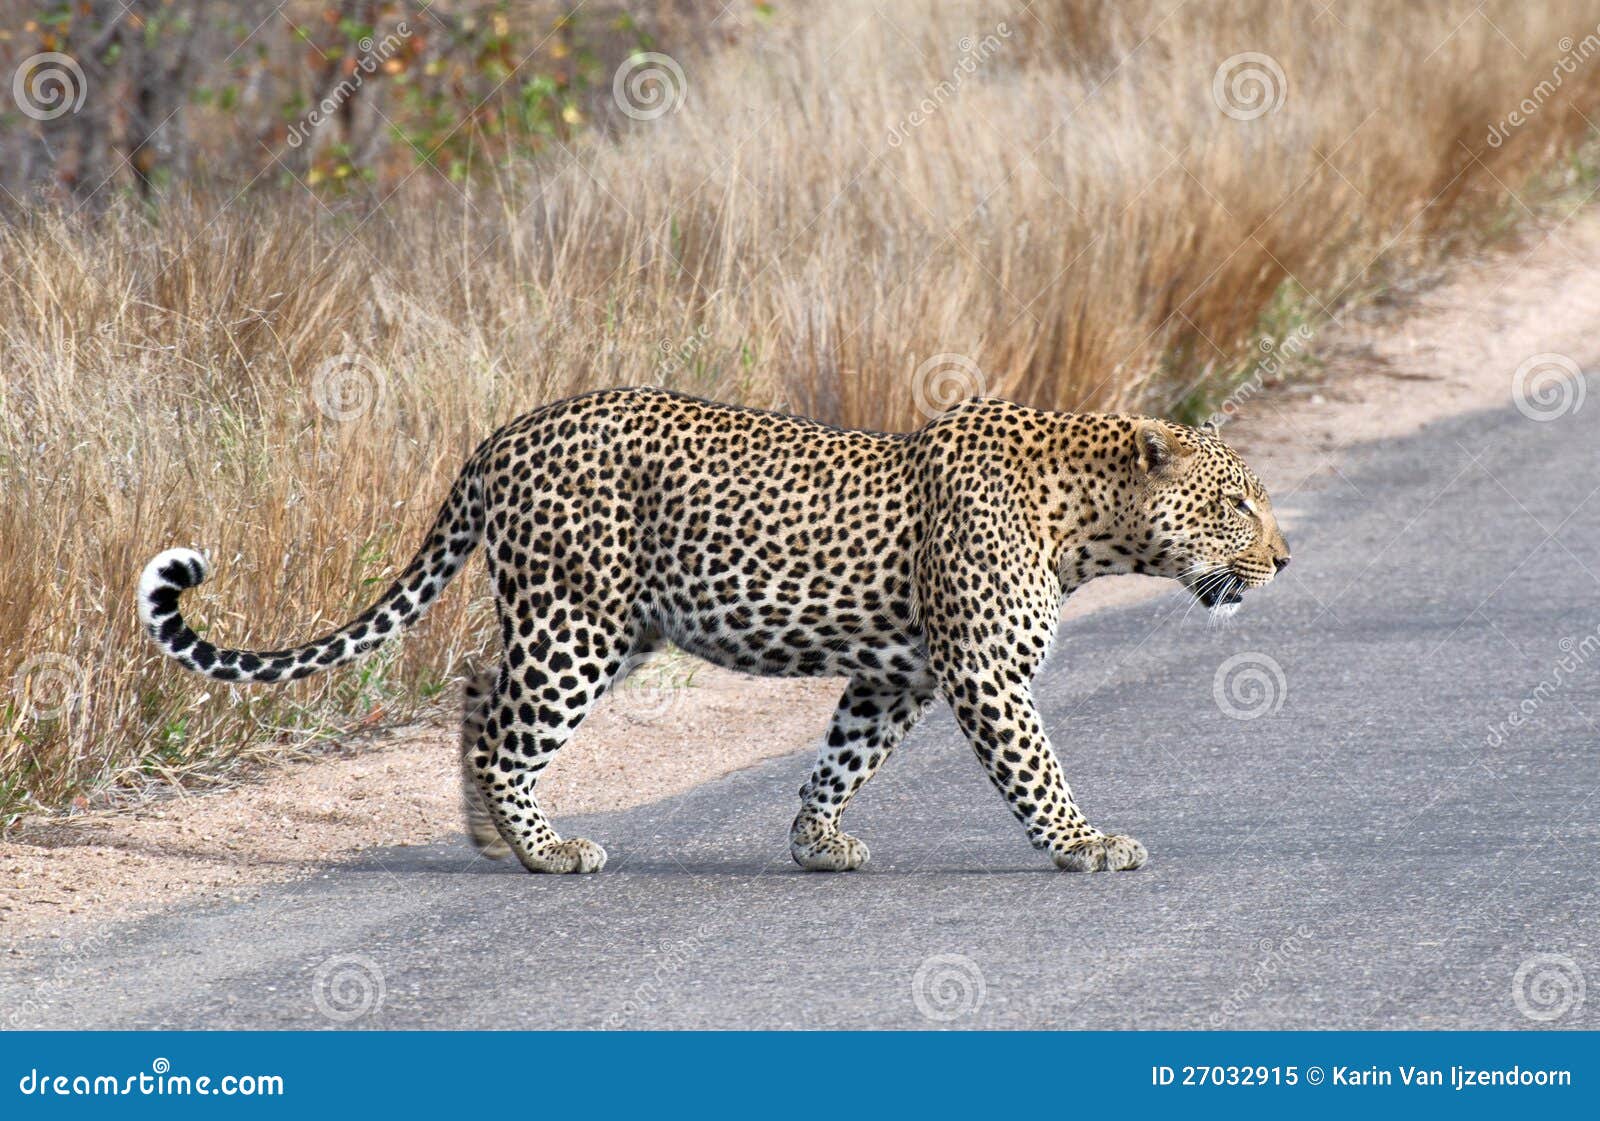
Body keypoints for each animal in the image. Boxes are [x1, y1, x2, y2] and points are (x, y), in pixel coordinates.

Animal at [138, 386, 1290, 874]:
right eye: (1238, 504)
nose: (1283, 560)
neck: (1086, 522)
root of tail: (505, 432)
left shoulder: (899, 676)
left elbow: (841, 760)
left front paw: (816, 842)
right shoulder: (982, 672)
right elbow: (1038, 770)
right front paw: (1086, 843)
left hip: (603, 624)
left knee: (474, 685)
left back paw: (492, 837)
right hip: (579, 622)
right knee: (506, 727)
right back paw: (546, 850)